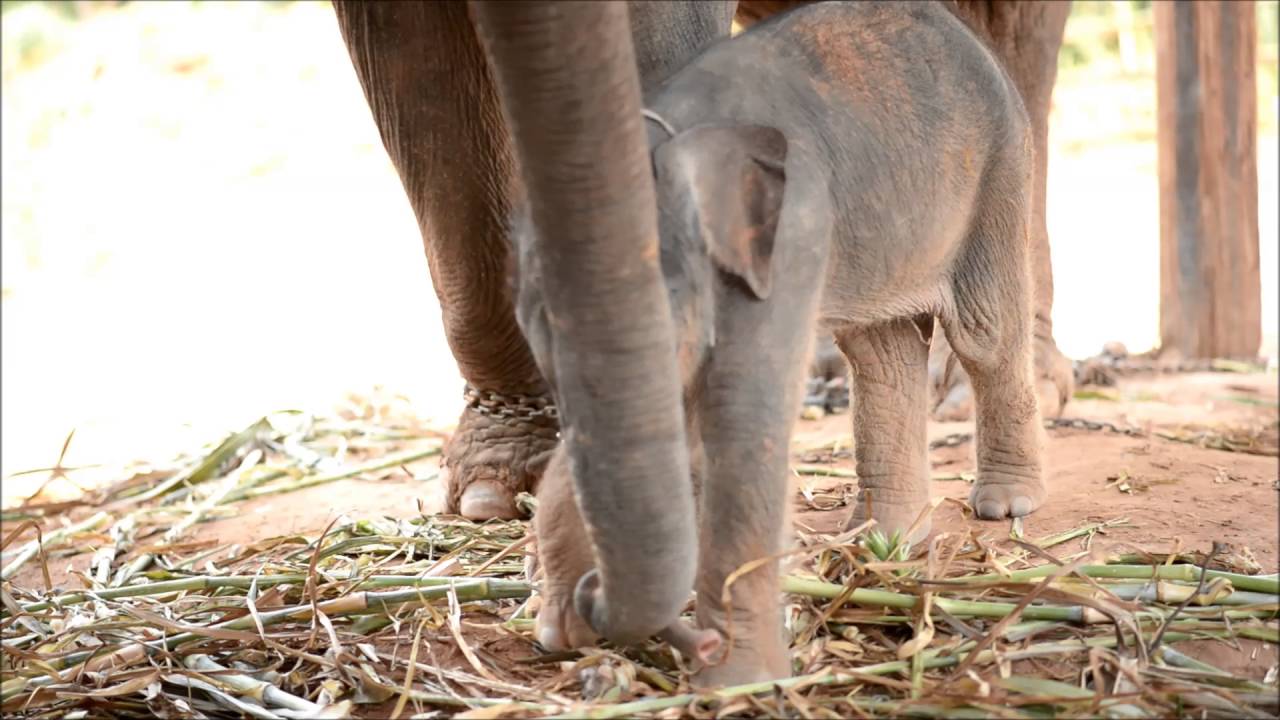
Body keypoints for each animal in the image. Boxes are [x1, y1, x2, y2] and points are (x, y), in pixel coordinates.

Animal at [515, 1, 1041, 685]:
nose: (591, 598)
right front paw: (556, 629)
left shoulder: (788, 236)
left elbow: (741, 420)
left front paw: (737, 684)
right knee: (880, 350)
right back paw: (886, 540)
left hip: (999, 168)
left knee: (985, 335)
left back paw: (1003, 506)